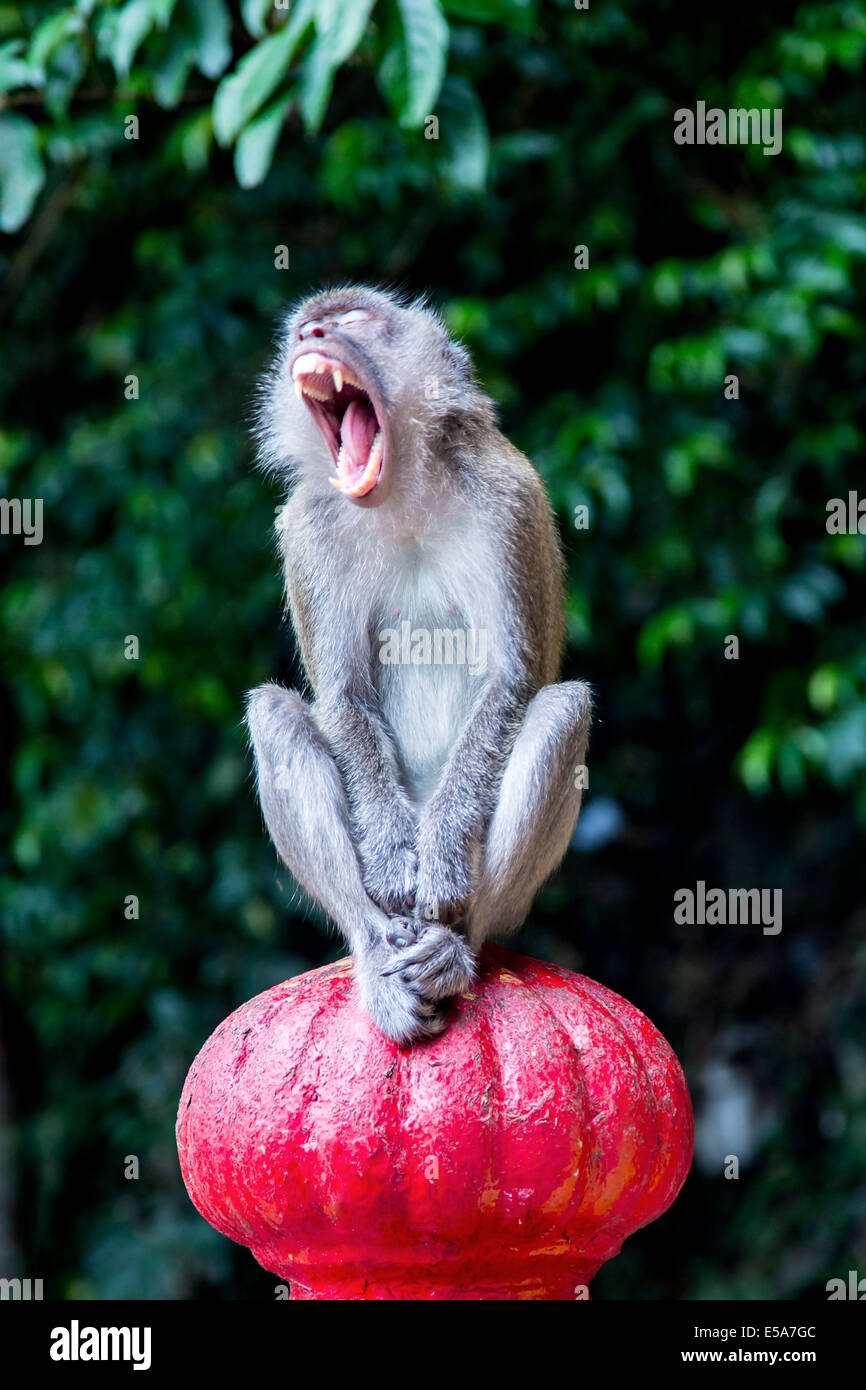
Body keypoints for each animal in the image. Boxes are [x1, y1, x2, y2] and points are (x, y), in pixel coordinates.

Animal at [246, 285, 592, 1044]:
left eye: (350, 321)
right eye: (306, 326)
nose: (312, 335)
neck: (402, 491)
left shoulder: (507, 500)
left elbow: (513, 683)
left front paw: (440, 864)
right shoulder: (310, 527)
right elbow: (343, 695)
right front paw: (389, 858)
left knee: (561, 708)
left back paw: (455, 947)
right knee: (274, 712)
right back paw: (376, 951)